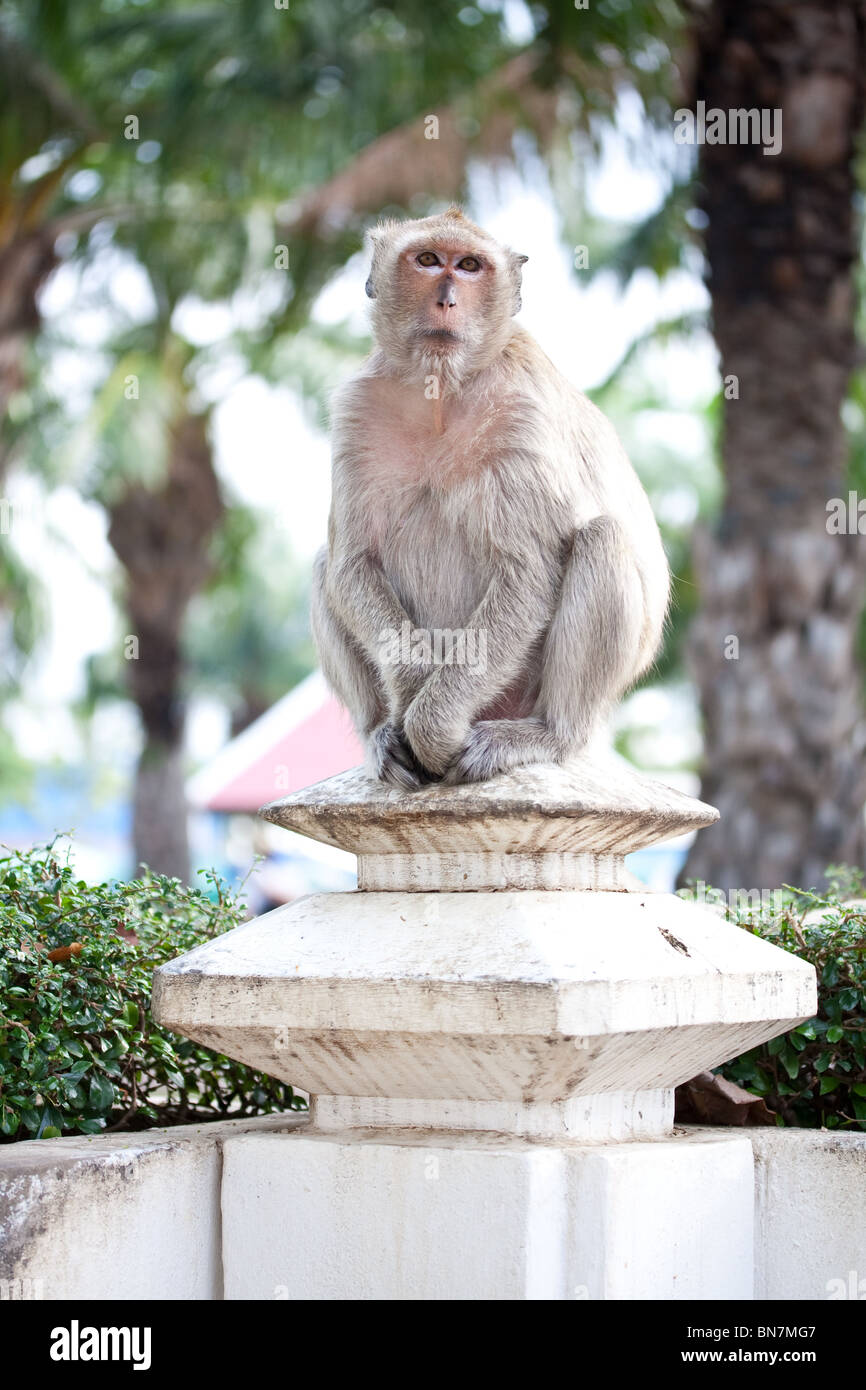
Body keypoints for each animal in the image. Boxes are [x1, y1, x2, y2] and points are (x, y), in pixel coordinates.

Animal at [311, 206, 670, 789]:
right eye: (428, 259)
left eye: (470, 266)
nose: (447, 299)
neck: (440, 392)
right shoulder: (356, 408)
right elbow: (351, 563)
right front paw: (410, 694)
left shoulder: (521, 409)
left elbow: (528, 571)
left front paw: (430, 726)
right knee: (326, 565)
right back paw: (379, 734)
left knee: (602, 538)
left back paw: (549, 734)